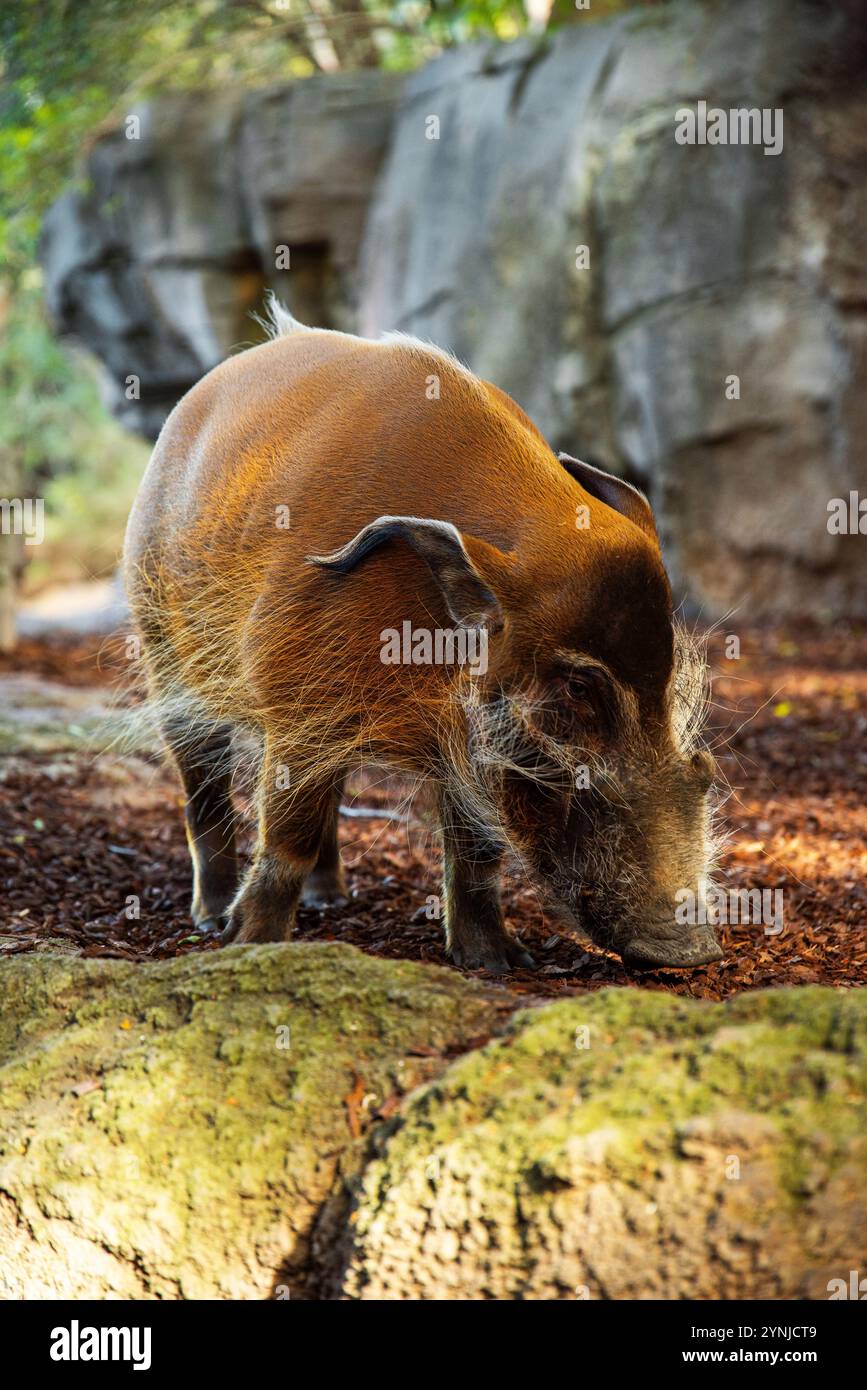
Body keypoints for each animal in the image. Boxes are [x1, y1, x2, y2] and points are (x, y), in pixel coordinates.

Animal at [123, 298, 723, 973]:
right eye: (577, 688)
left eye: (668, 682)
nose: (693, 951)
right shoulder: (298, 703)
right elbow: (286, 836)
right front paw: (251, 946)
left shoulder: (461, 735)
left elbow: (477, 849)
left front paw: (496, 963)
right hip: (162, 649)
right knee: (203, 787)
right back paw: (210, 915)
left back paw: (331, 900)